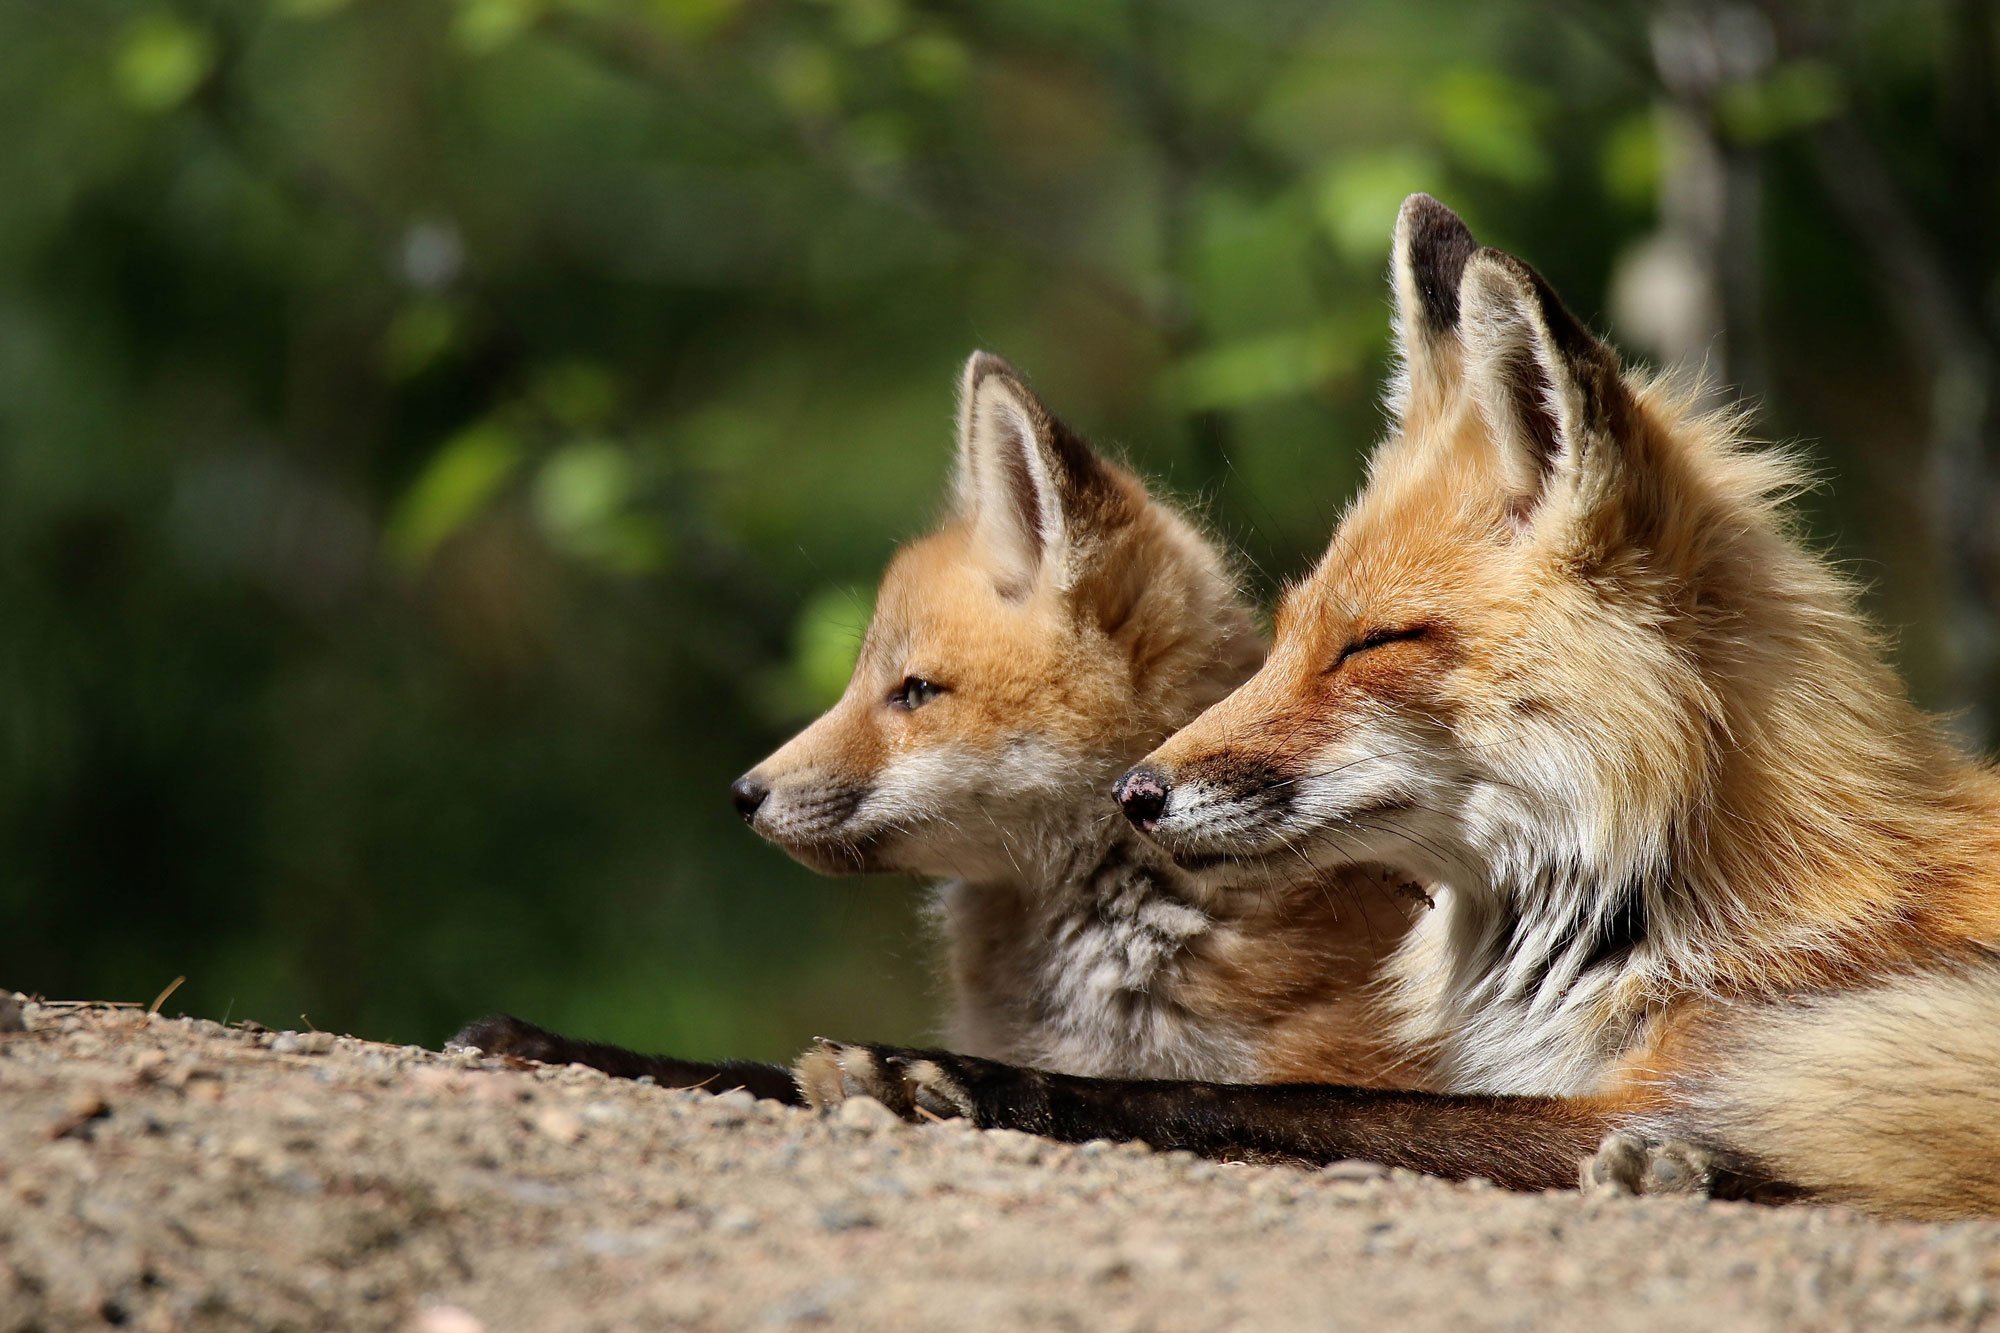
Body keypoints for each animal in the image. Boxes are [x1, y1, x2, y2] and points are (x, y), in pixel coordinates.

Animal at [797, 196, 2000, 1219]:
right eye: (1285, 633)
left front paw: (943, 1075)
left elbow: (1256, 1099)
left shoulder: (1704, 1075)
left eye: (1370, 644)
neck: (1664, 893)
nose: (1133, 791)